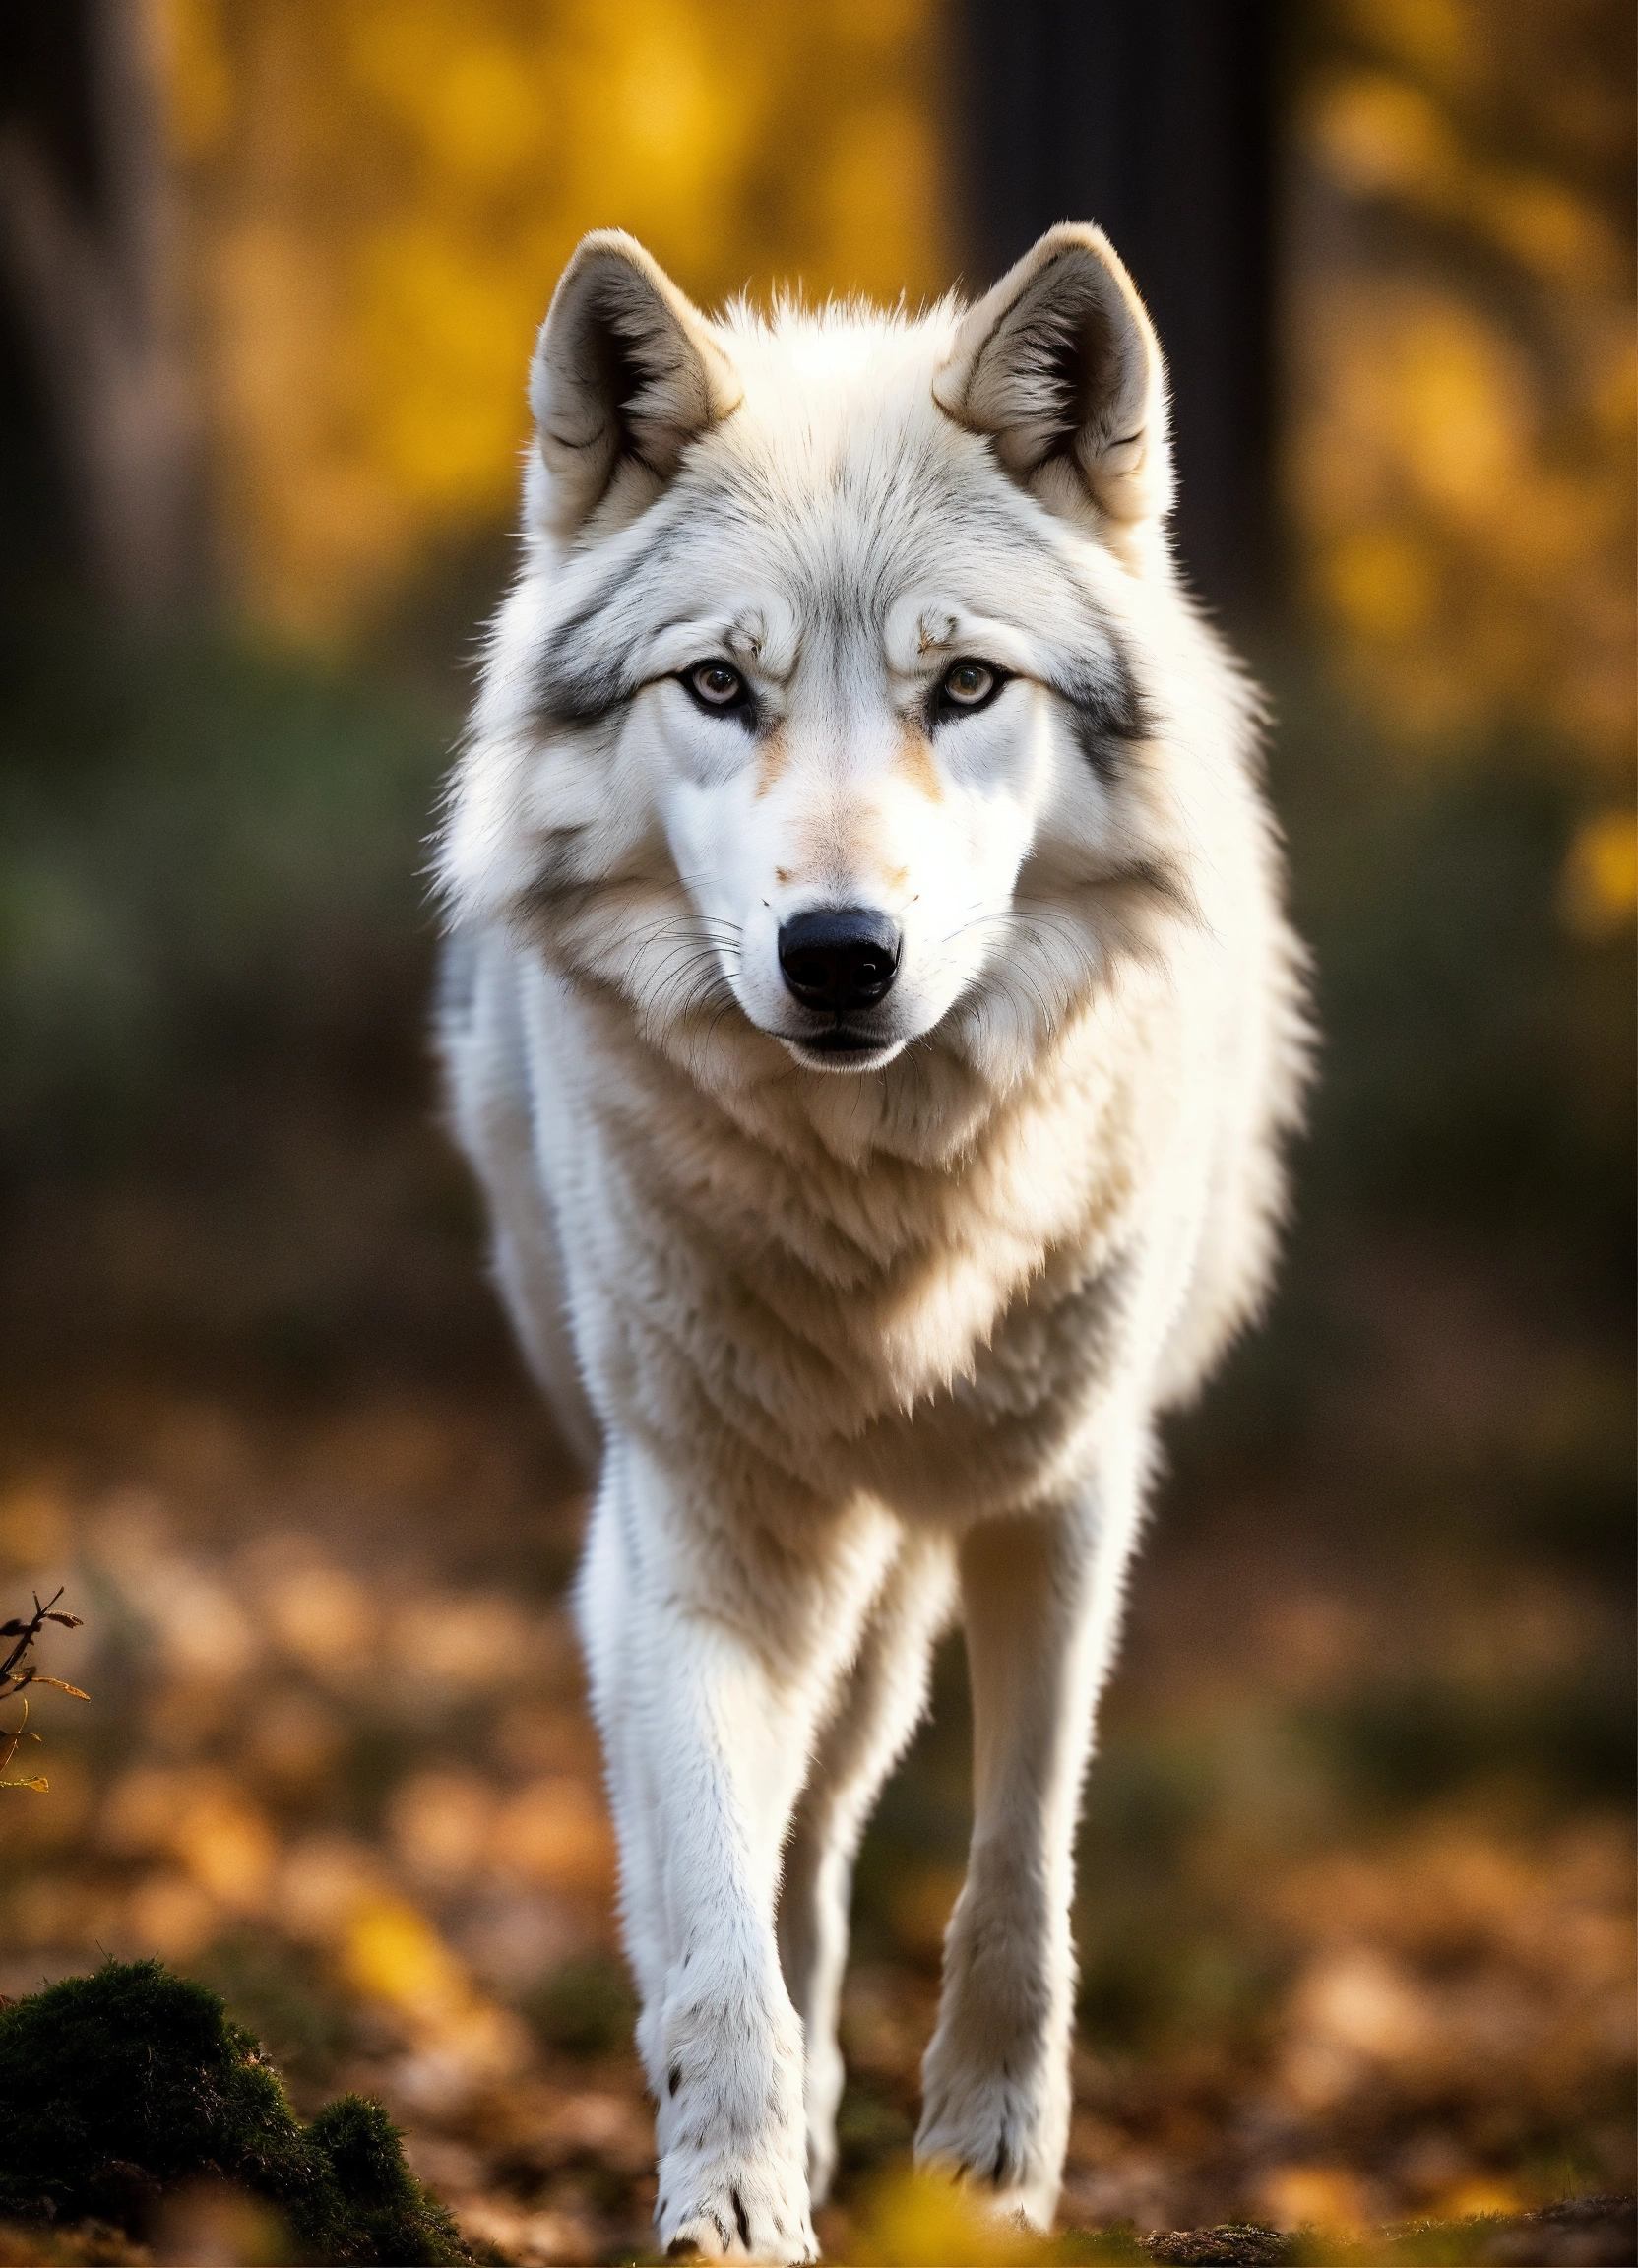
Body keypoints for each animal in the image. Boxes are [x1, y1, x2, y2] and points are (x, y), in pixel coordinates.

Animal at [436, 221, 1308, 2260]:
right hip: (784, 1541)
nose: (839, 953)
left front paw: (988, 2157)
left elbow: (1018, 1864)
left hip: (902, 1552)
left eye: (964, 686)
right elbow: (708, 1902)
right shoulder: (682, 1526)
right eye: (718, 686)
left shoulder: (1061, 1495)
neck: (884, 1210)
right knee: (793, 1824)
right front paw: (732, 2181)